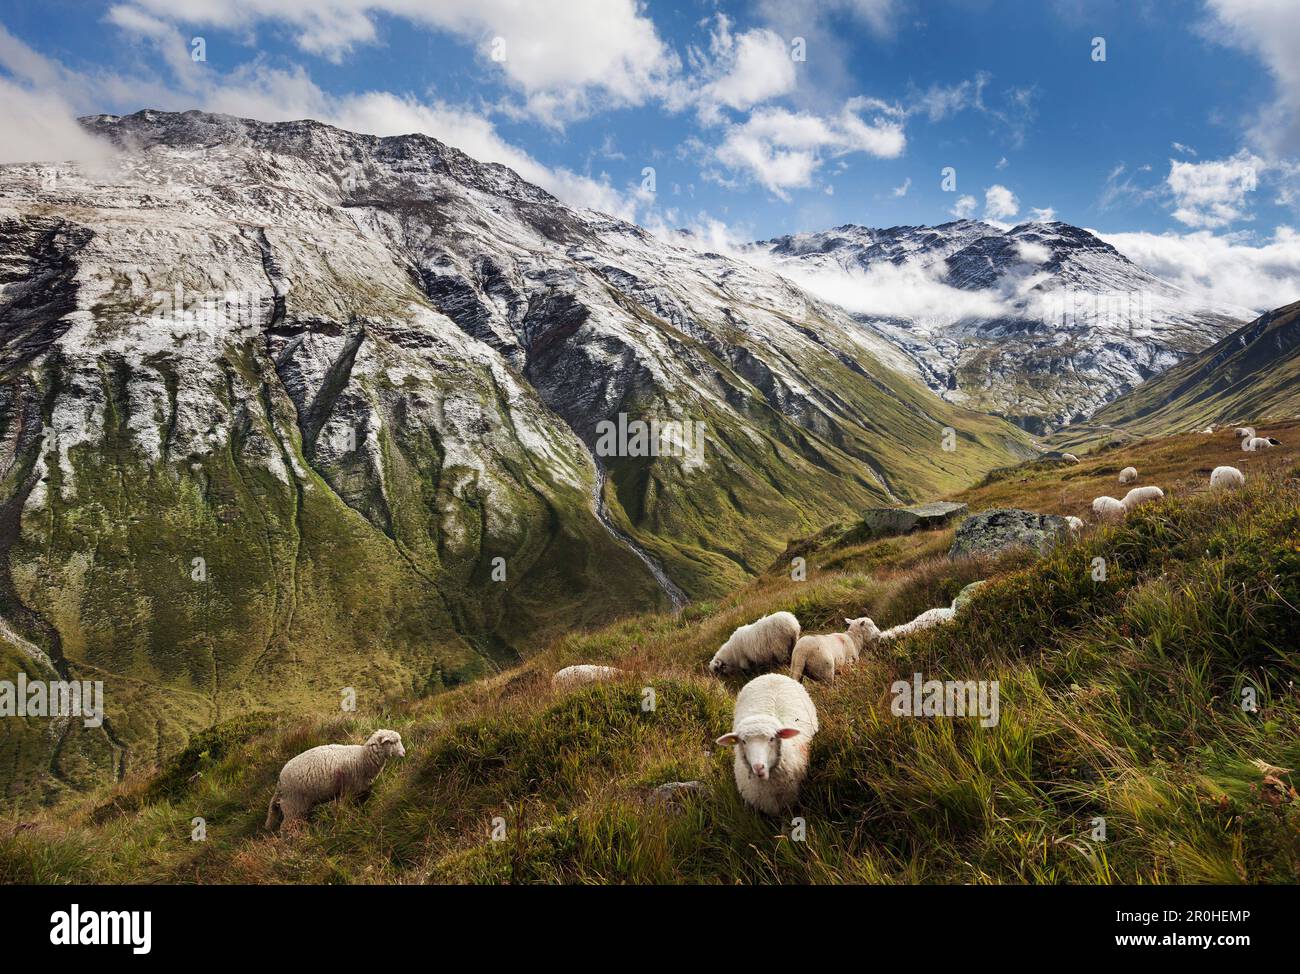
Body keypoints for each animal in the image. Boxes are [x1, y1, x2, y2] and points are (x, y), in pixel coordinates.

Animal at [265, 729, 406, 831]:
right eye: (392, 742)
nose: (404, 753)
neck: (363, 758)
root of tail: (280, 782)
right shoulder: (347, 791)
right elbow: (344, 809)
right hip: (293, 804)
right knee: (286, 827)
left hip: (300, 805)